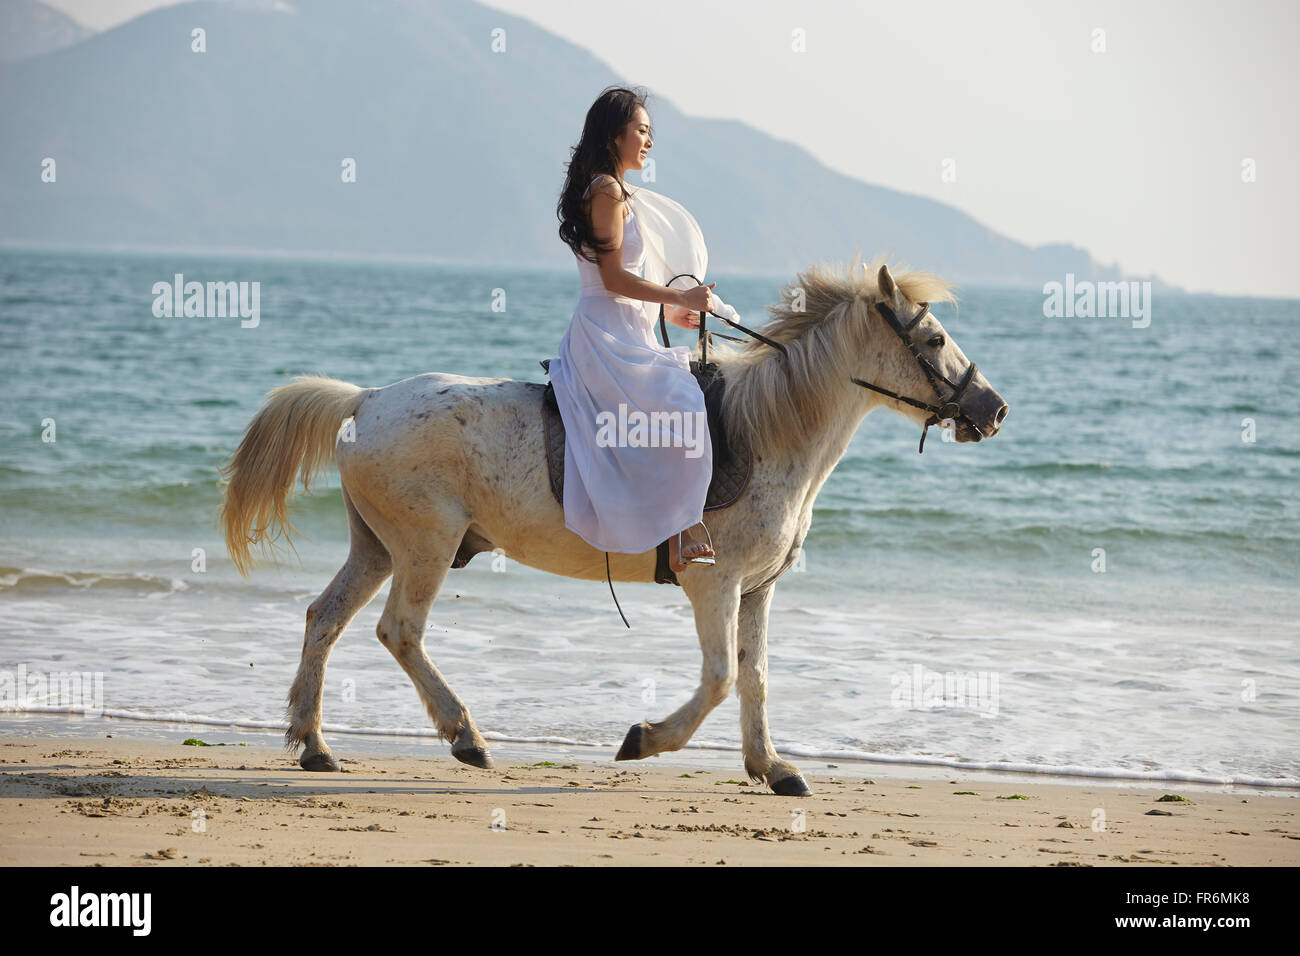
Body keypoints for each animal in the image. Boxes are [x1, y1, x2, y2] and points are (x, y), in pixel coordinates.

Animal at [218, 260, 1008, 796]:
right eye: (934, 337)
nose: (994, 409)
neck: (770, 433)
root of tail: (368, 398)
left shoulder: (756, 590)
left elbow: (754, 679)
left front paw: (772, 767)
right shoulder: (714, 584)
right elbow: (720, 679)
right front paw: (645, 739)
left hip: (377, 546)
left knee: (324, 618)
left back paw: (314, 745)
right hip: (424, 547)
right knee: (398, 631)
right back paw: (465, 736)